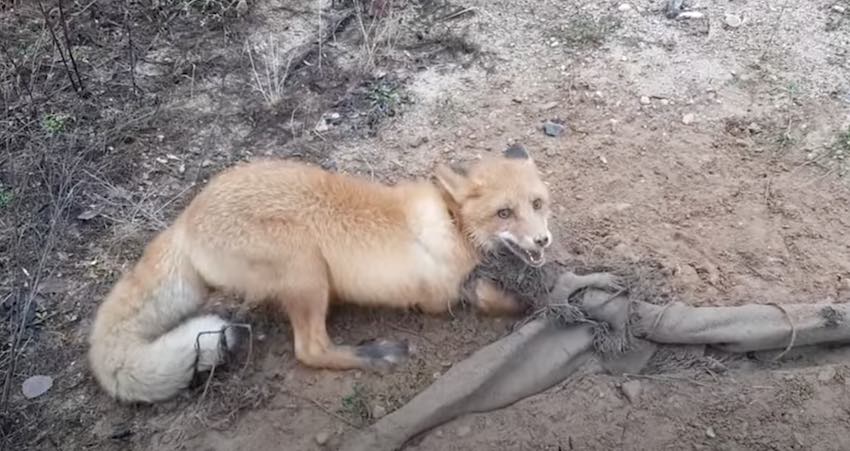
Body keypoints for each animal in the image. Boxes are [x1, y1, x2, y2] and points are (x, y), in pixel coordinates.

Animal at [88, 144, 556, 403]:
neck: (450, 220)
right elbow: (492, 298)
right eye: (504, 213)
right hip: (306, 269)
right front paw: (539, 299)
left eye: (537, 204)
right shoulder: (441, 293)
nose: (543, 240)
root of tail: (185, 218)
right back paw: (373, 356)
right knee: (310, 350)